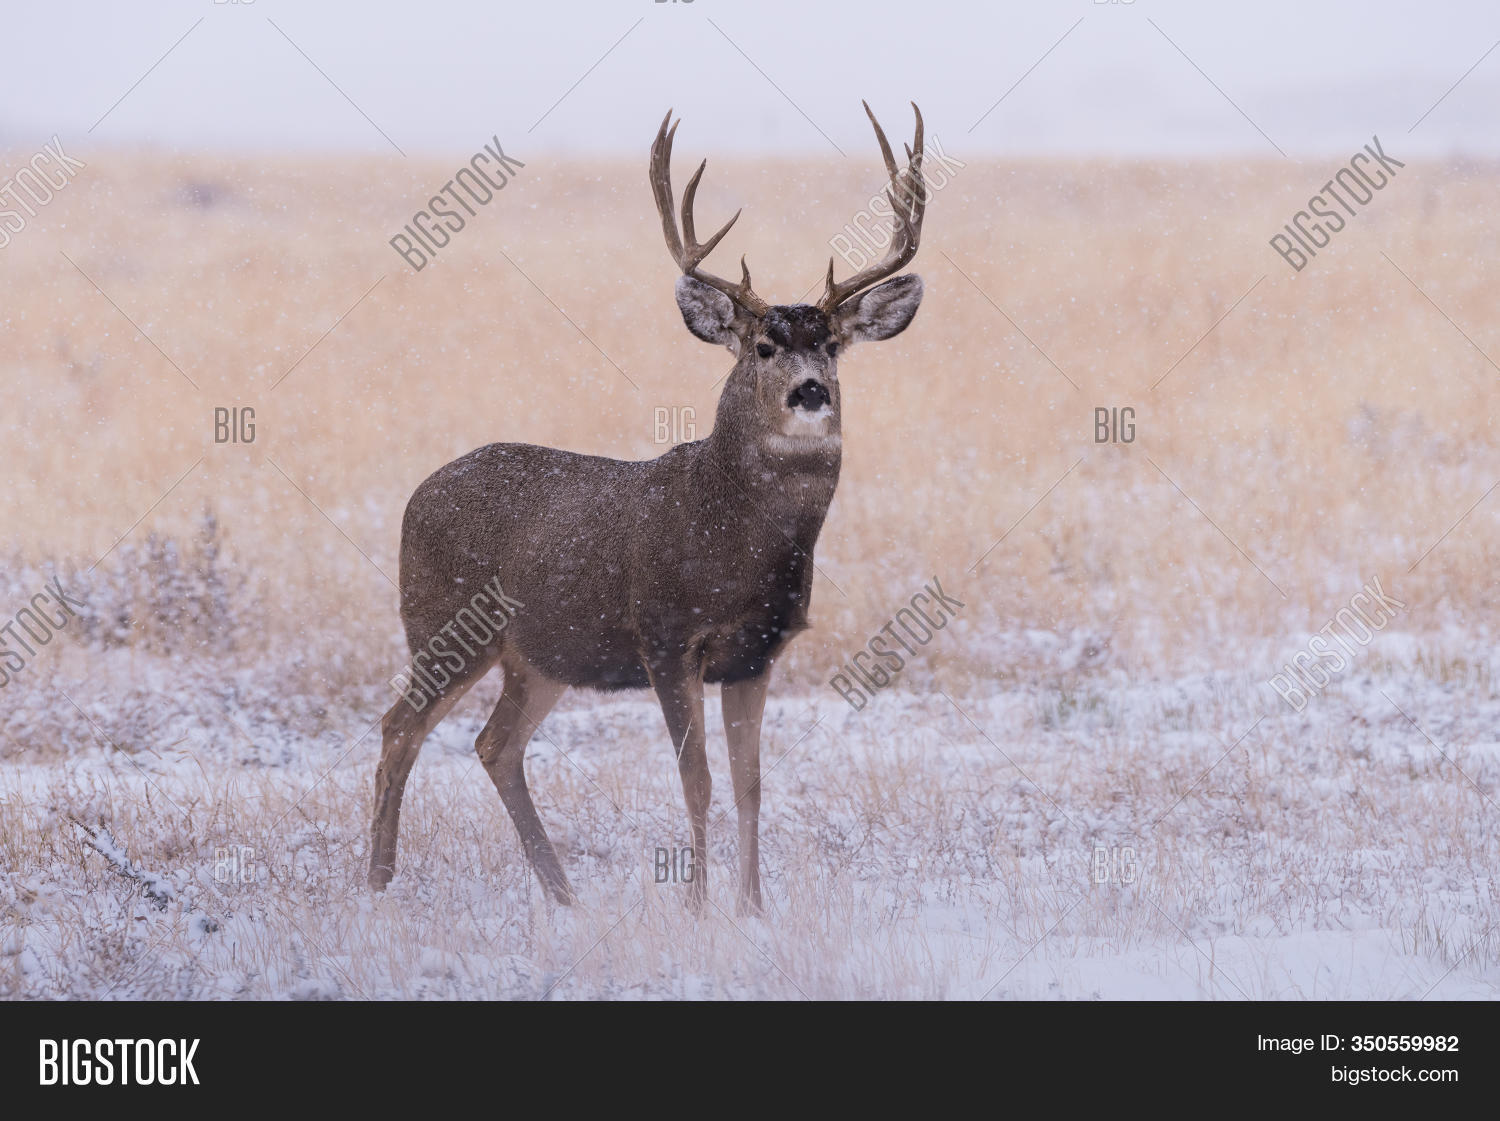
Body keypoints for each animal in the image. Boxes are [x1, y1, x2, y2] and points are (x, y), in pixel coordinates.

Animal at [368, 102, 928, 914]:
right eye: (762, 346)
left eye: (831, 345)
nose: (810, 392)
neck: (733, 539)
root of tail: (418, 493)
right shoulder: (665, 635)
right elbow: (696, 781)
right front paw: (696, 908)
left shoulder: (756, 653)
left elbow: (751, 784)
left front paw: (752, 909)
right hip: (444, 620)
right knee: (399, 729)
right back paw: (377, 883)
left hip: (541, 654)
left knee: (494, 744)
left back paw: (564, 895)